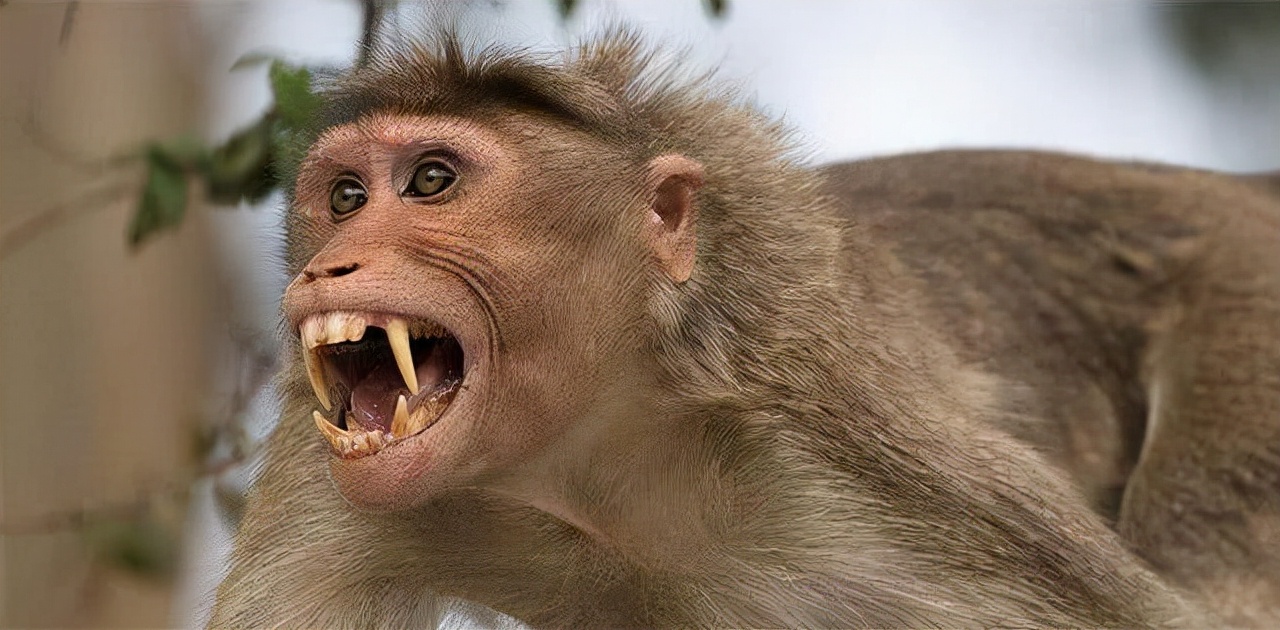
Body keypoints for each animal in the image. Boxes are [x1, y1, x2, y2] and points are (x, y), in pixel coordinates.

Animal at [208, 29, 1280, 628]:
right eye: (346, 197)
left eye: (431, 180)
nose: (327, 265)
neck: (592, 465)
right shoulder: (322, 484)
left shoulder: (854, 455)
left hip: (1248, 303)